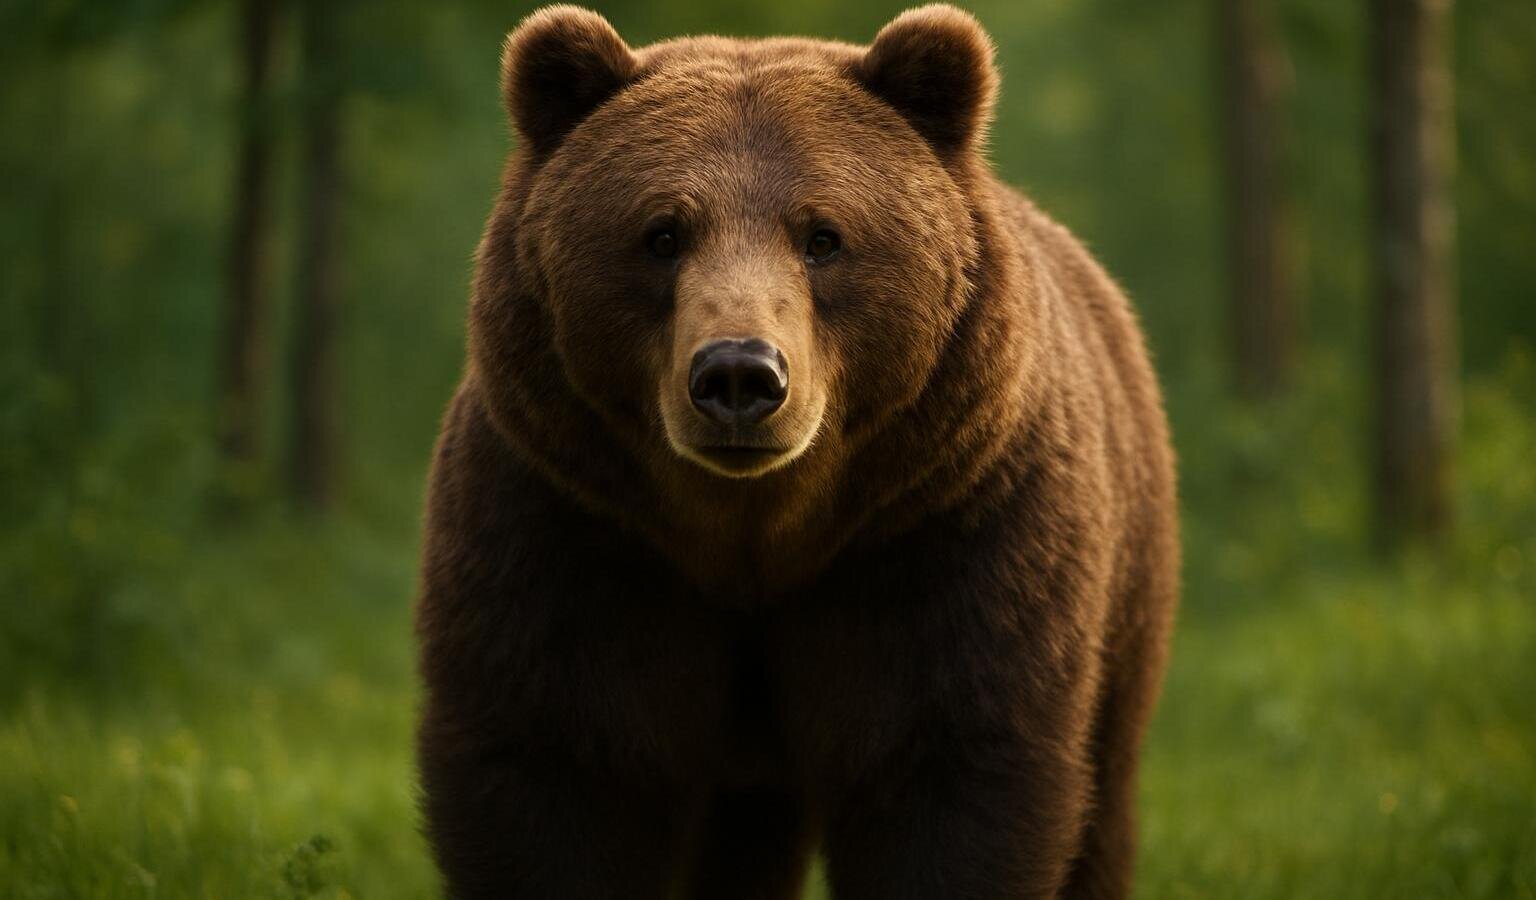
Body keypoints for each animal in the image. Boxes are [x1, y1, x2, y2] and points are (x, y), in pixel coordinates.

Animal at [414, 5, 1179, 899]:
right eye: (662, 233)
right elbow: (551, 772)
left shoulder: (948, 541)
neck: (756, 537)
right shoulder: (571, 530)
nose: (740, 372)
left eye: (823, 237)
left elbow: (951, 775)